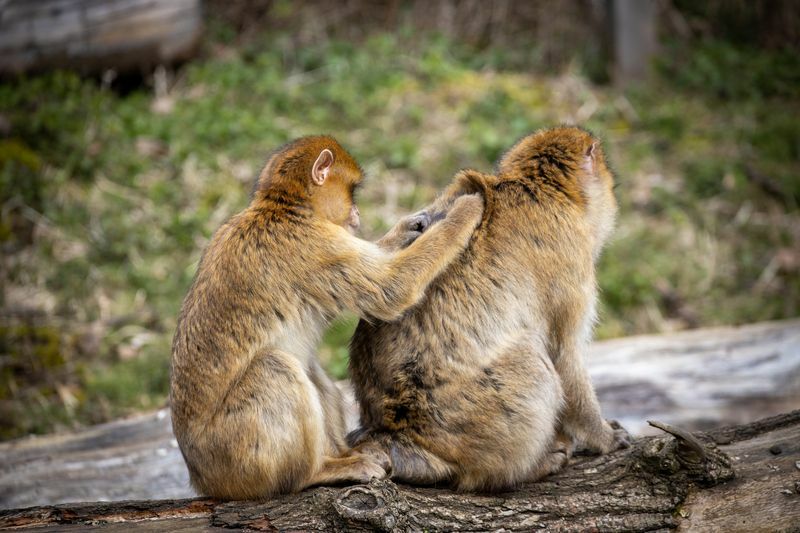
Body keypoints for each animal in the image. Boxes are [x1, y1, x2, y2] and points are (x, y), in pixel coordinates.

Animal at [169, 134, 482, 498]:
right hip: (235, 455)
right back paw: (318, 471)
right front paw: (465, 212)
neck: (285, 209)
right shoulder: (314, 246)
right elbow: (392, 288)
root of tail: (202, 479)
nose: (356, 212)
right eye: (353, 192)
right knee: (274, 369)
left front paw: (409, 227)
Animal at [346, 125, 628, 490]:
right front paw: (605, 437)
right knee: (533, 364)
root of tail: (398, 433)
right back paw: (530, 467)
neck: (540, 191)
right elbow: (565, 356)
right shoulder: (571, 266)